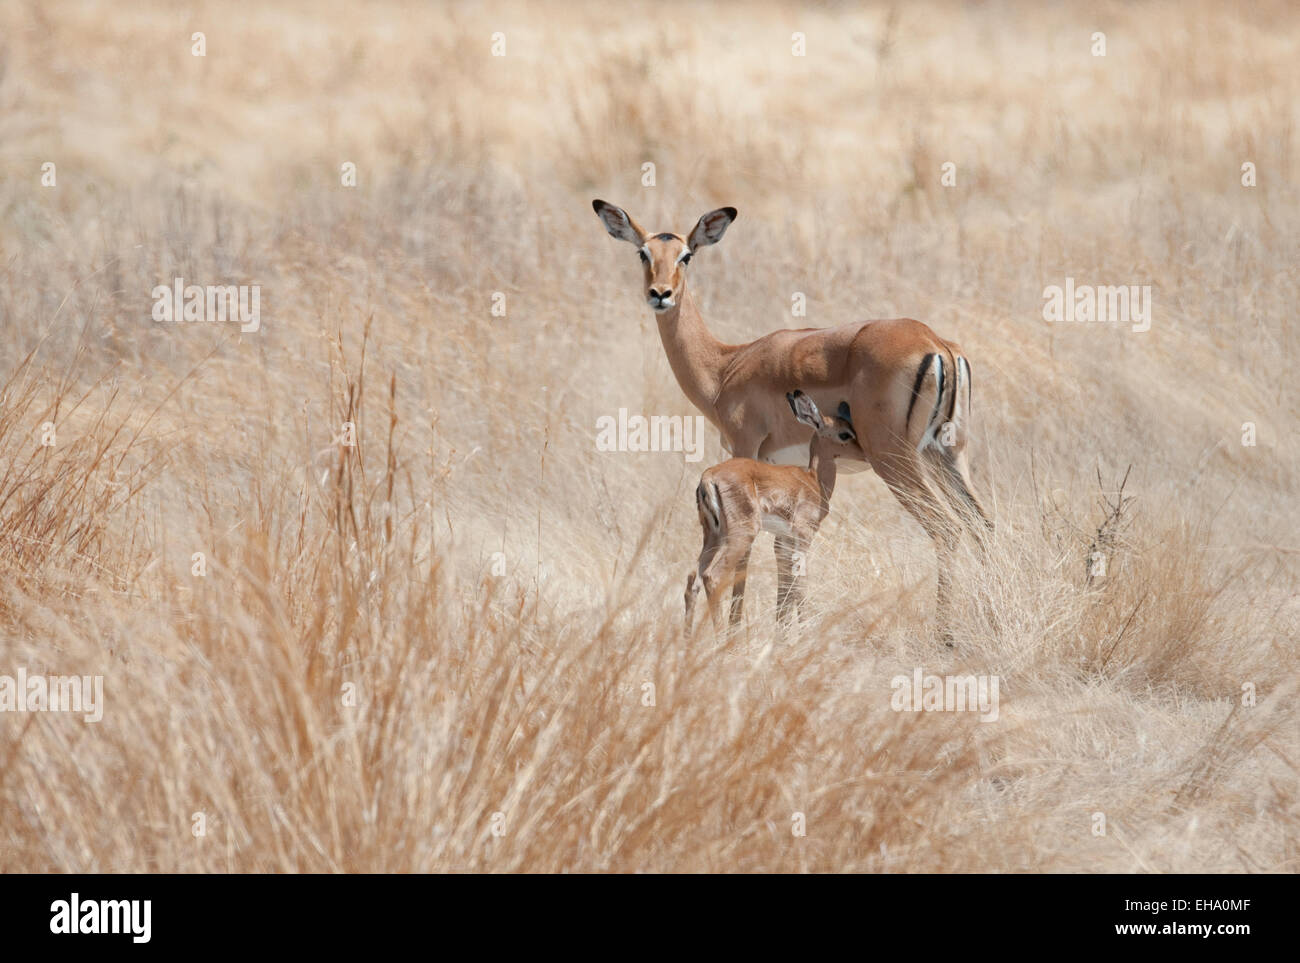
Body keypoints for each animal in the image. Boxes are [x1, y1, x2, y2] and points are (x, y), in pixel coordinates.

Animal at [684, 390, 861, 631]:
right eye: (845, 434)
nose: (864, 452)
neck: (814, 481)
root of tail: (708, 477)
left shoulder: (786, 540)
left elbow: (788, 586)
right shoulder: (803, 537)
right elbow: (800, 583)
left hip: (713, 536)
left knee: (693, 579)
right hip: (742, 536)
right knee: (712, 577)